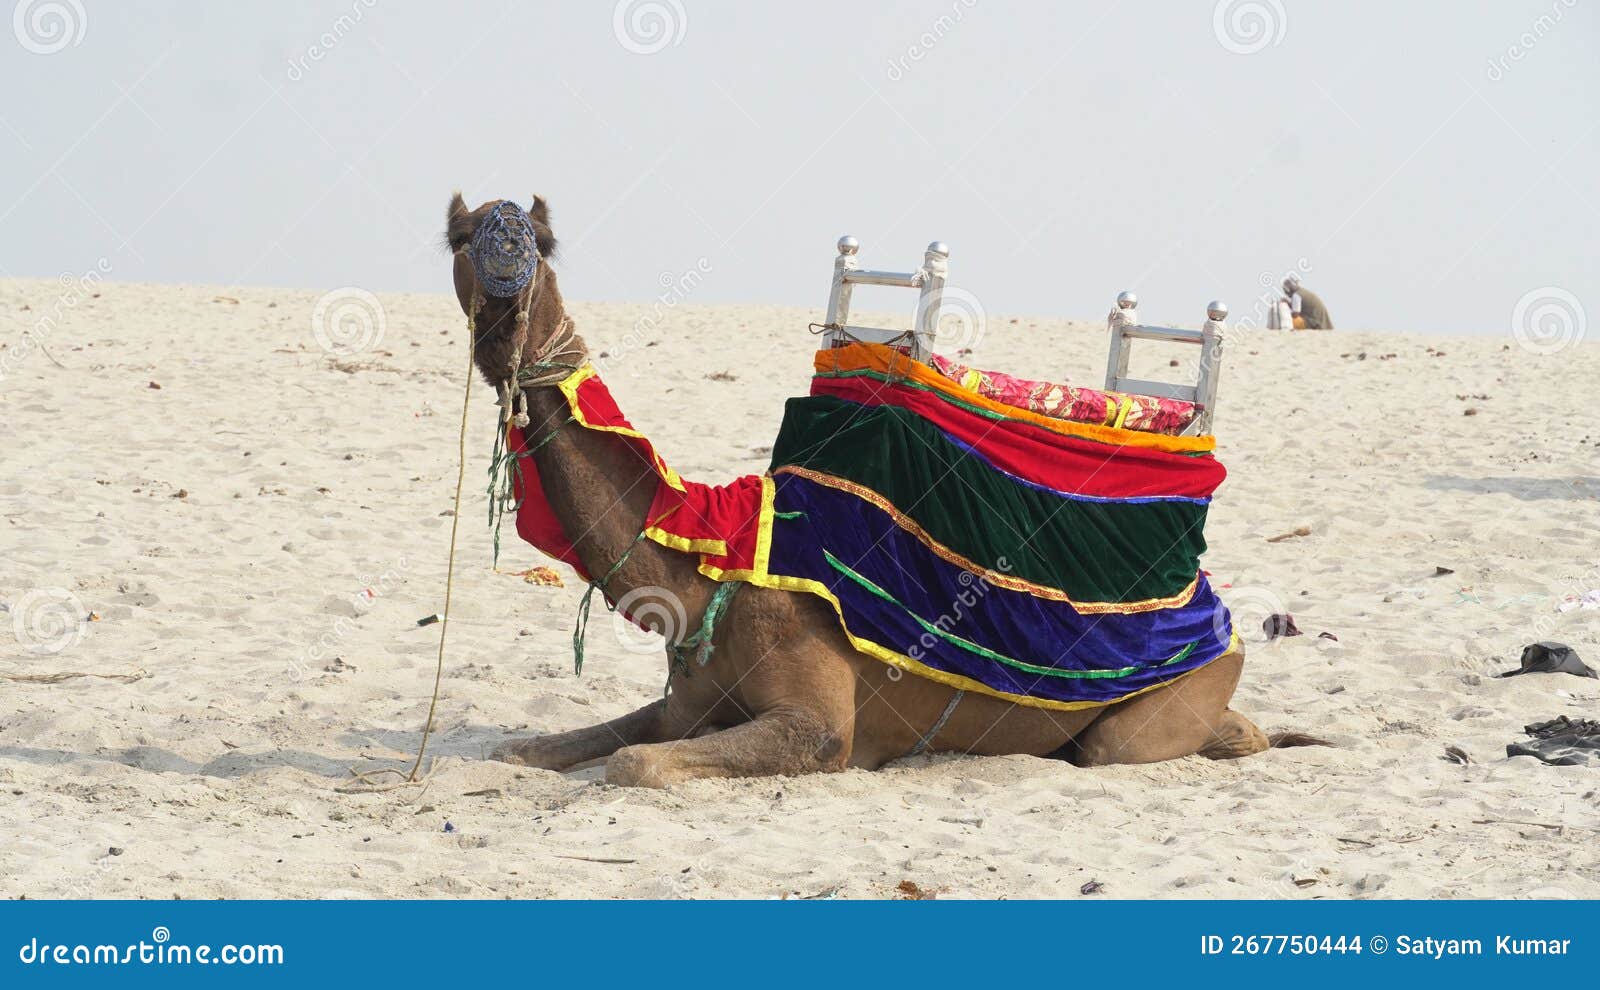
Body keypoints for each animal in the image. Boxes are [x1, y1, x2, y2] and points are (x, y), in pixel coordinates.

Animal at [445, 193, 1316, 788]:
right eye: (460, 236)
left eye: (539, 239)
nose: (507, 246)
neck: (710, 570)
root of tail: (1212, 598)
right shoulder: (683, 703)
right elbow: (531, 747)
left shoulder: (821, 728)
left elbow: (638, 763)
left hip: (1176, 689)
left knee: (1140, 743)